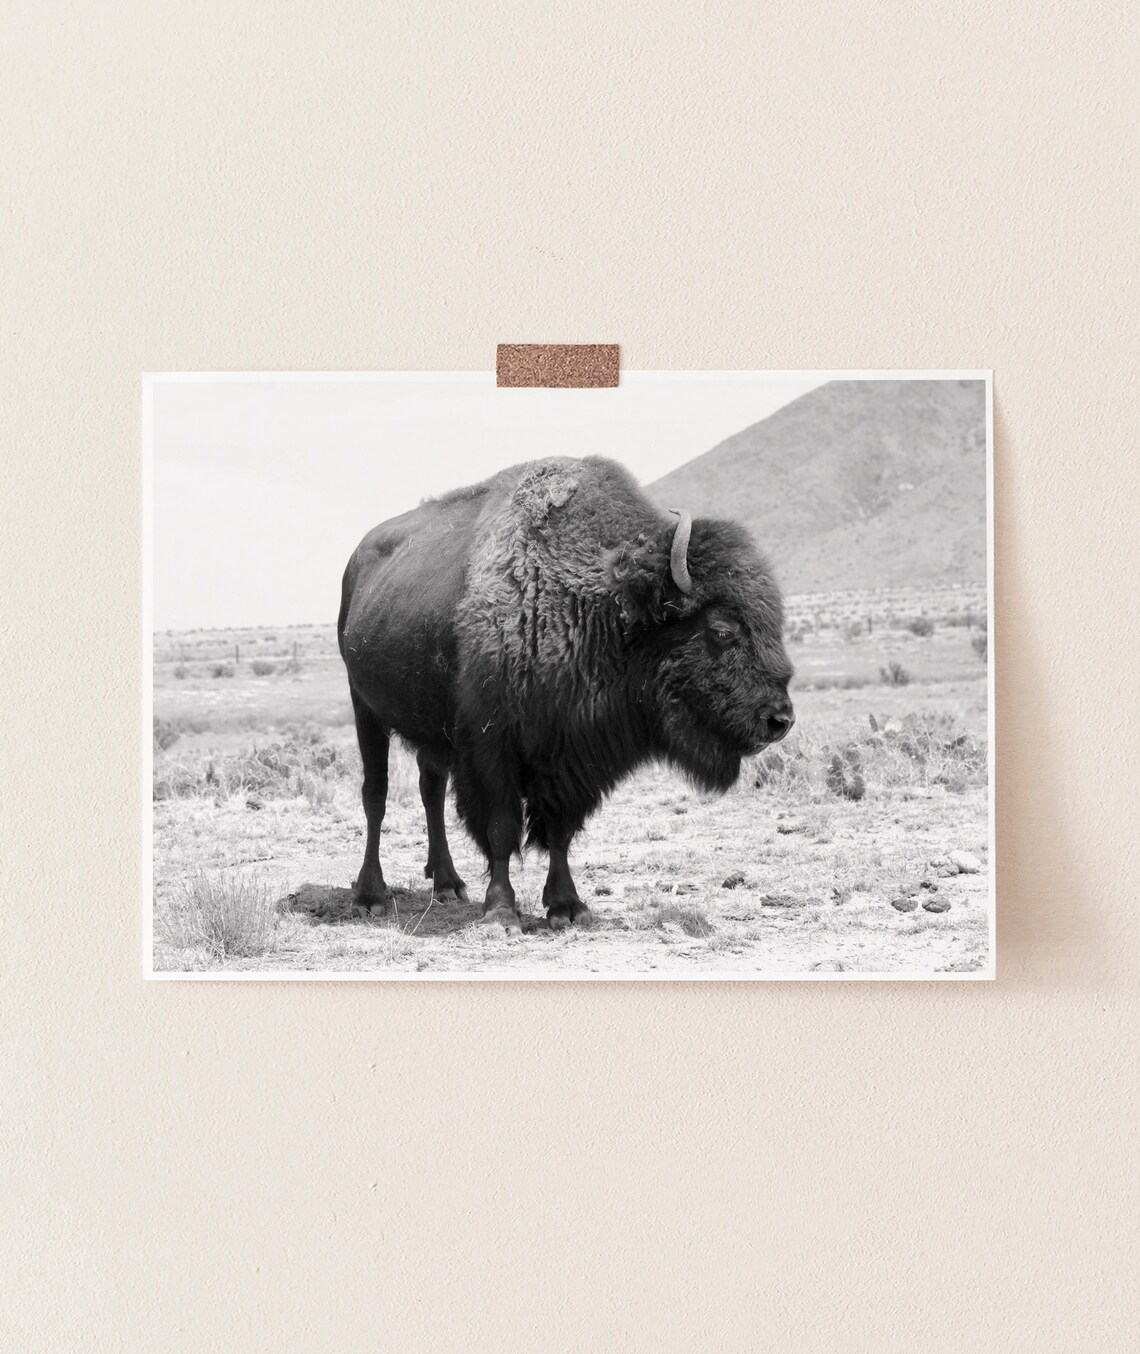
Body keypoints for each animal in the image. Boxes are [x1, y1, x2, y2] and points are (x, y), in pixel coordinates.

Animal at [338, 456, 794, 932]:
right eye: (721, 630)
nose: (779, 719)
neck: (596, 606)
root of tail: (356, 561)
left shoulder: (567, 757)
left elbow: (558, 829)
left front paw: (567, 907)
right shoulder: (490, 744)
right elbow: (501, 827)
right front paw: (501, 911)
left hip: (430, 731)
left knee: (431, 789)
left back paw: (447, 884)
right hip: (364, 709)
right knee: (376, 795)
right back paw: (370, 895)